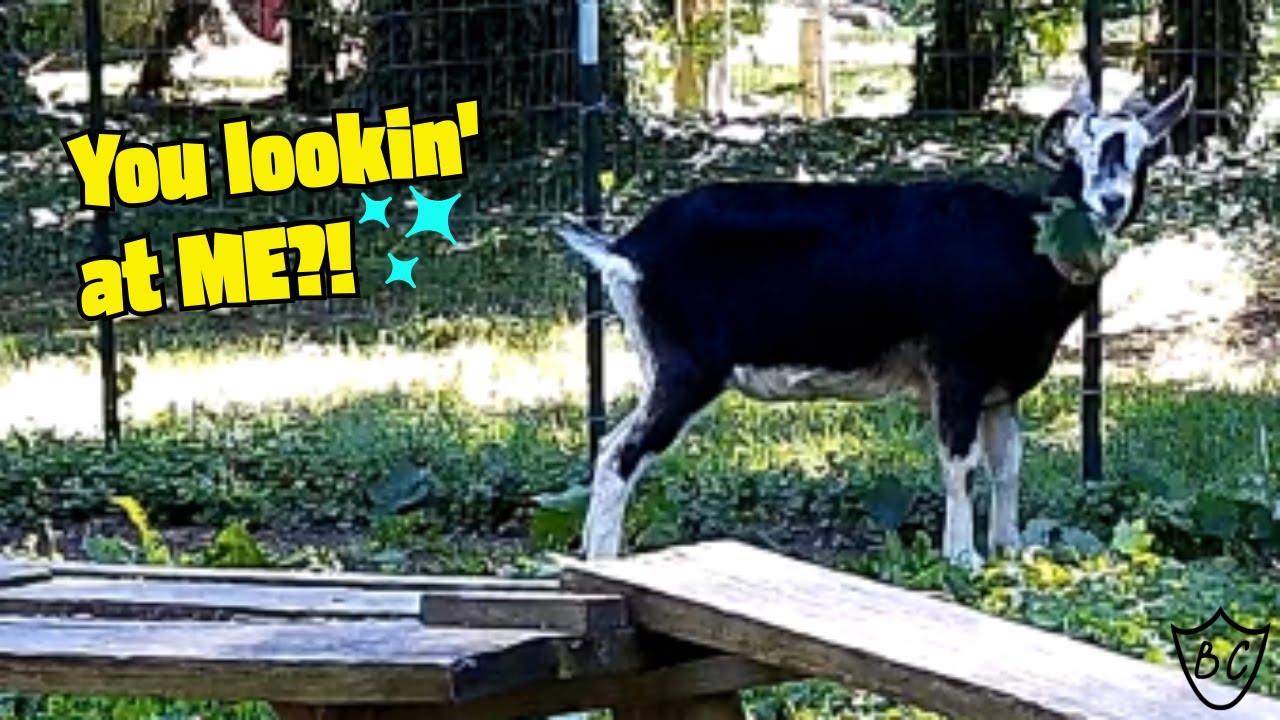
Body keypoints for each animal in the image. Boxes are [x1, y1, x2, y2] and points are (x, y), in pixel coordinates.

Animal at [557, 75, 1196, 568]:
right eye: (1077, 151)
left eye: (1142, 152)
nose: (1109, 201)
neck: (1026, 240)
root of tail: (627, 249)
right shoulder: (956, 369)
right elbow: (961, 463)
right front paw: (963, 557)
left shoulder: (1001, 389)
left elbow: (1008, 464)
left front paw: (1009, 550)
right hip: (686, 370)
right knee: (620, 455)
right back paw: (605, 562)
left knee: (607, 445)